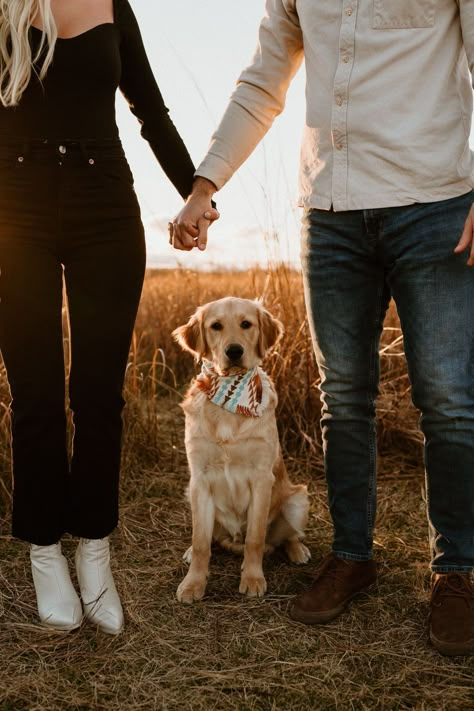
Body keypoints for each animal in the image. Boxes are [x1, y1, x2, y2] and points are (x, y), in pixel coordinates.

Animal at [172, 298, 310, 604]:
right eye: (216, 326)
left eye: (246, 324)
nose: (234, 351)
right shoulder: (199, 479)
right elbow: (201, 541)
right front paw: (193, 583)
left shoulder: (261, 478)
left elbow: (255, 538)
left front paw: (253, 578)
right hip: (191, 493)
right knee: (209, 537)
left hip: (297, 499)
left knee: (287, 535)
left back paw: (298, 550)